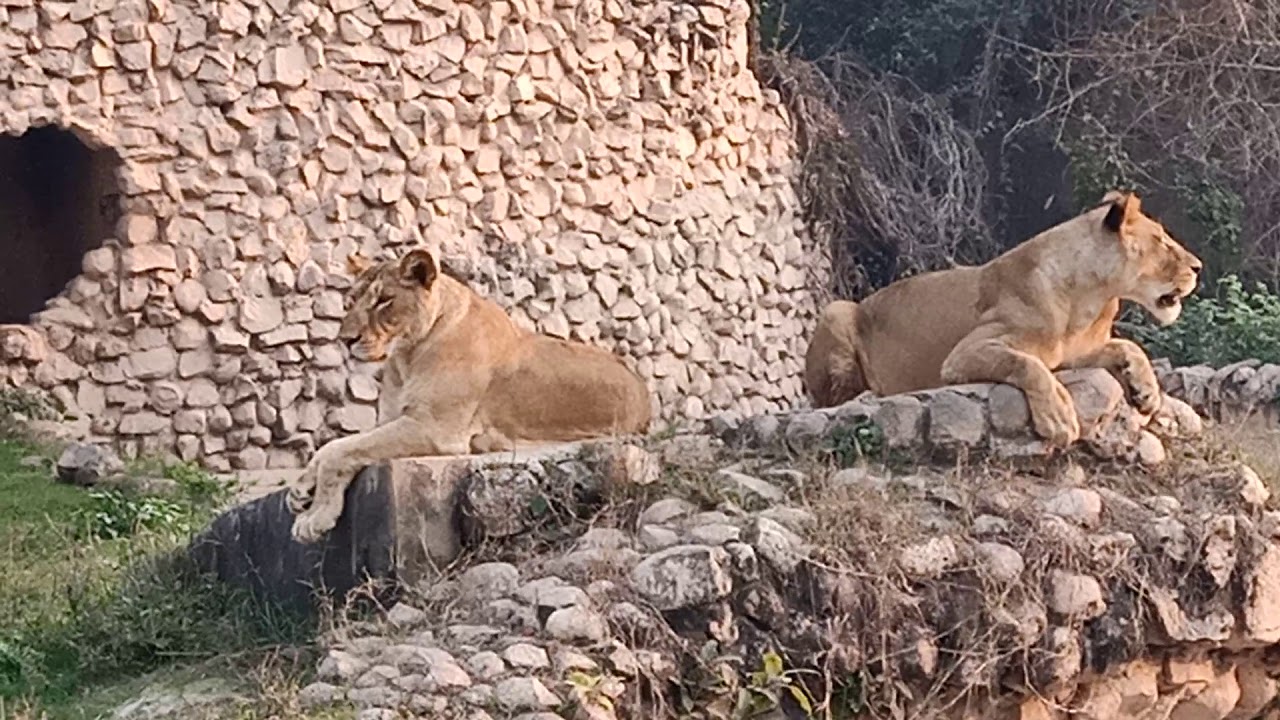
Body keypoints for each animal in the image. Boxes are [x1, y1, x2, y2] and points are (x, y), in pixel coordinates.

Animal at [287, 247, 654, 544]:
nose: (345, 339)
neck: (406, 358)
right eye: (350, 302)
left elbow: (342, 450)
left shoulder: (434, 429)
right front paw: (301, 490)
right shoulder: (395, 420)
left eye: (384, 300)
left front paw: (315, 516)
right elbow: (336, 446)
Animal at [803, 190, 1202, 448]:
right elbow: (1026, 365)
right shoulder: (963, 356)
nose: (1198, 267)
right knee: (827, 401)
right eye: (1163, 242)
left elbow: (1128, 345)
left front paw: (1146, 390)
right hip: (836, 310)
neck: (1089, 301)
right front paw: (1058, 417)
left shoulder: (1072, 354)